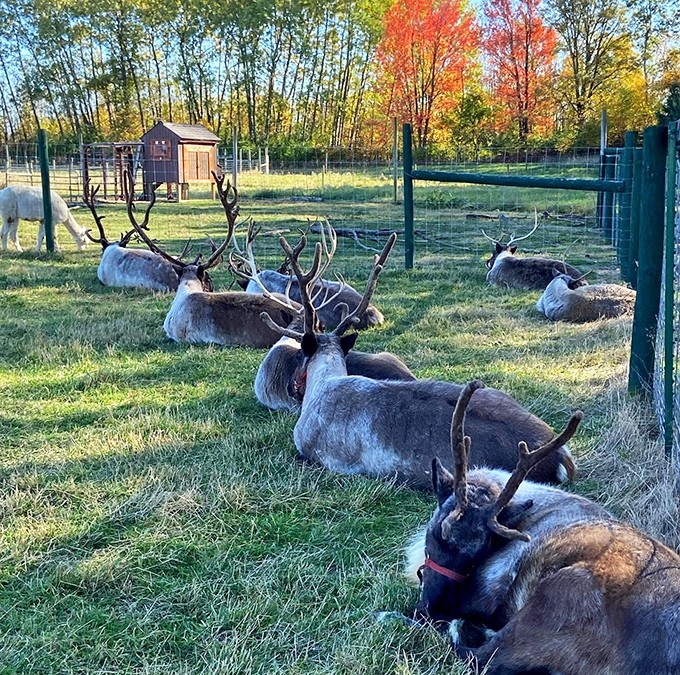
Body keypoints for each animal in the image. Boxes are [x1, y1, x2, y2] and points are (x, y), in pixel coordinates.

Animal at [409, 381, 680, 675]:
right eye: (438, 533)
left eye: (478, 555)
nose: (430, 606)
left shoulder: (488, 589)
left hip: (555, 594)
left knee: (479, 655)